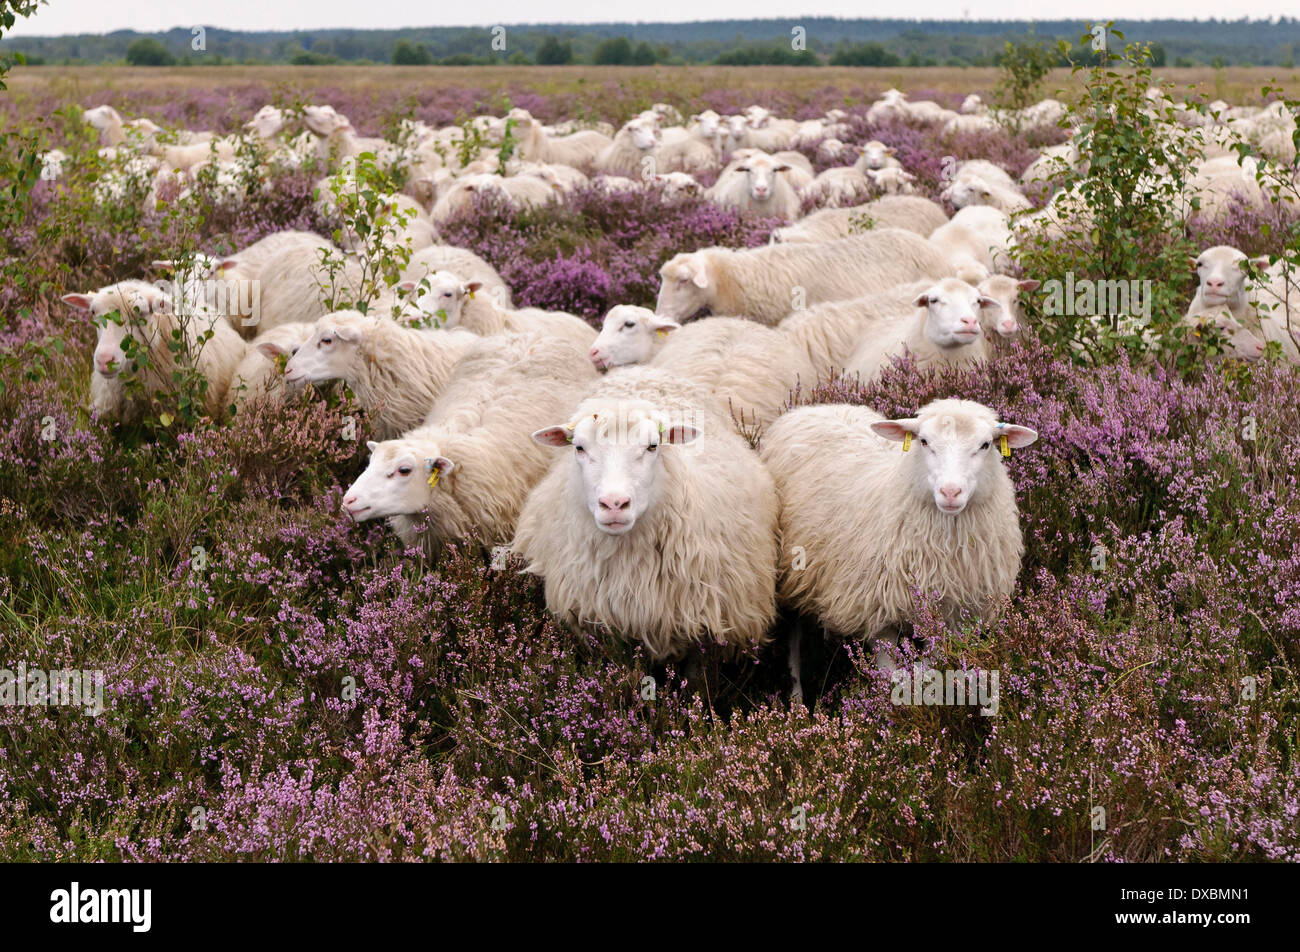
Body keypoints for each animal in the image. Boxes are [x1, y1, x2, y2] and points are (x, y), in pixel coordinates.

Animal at [759, 398, 1037, 674]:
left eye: (985, 445)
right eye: (923, 441)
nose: (950, 492)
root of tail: (818, 406)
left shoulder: (951, 617)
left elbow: (933, 665)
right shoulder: (875, 609)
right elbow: (889, 672)